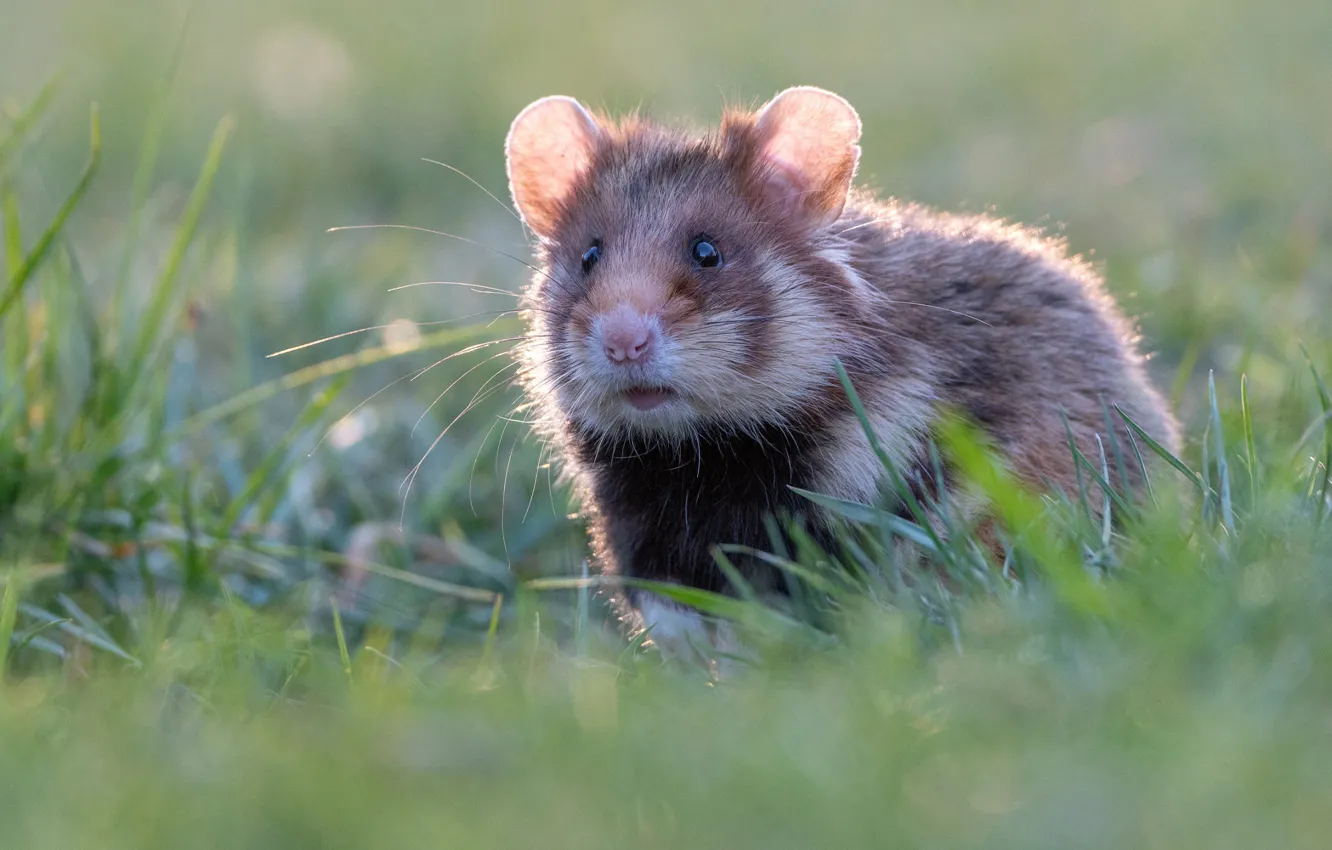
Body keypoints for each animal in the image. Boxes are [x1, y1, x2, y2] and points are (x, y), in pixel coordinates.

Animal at [502, 86, 1180, 665]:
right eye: (589, 256)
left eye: (707, 252)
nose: (623, 342)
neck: (696, 454)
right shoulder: (635, 519)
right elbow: (675, 611)